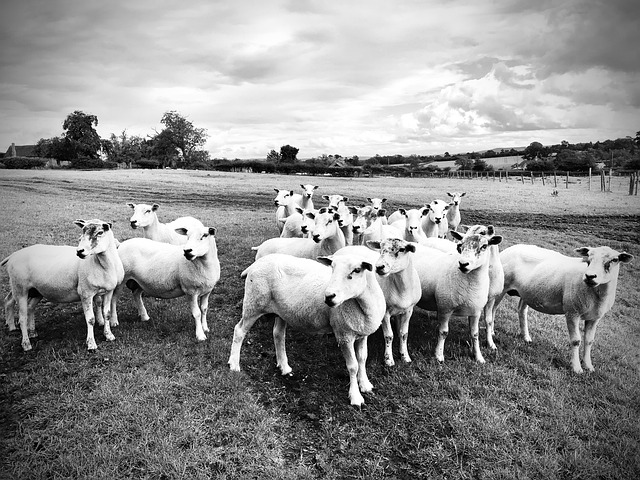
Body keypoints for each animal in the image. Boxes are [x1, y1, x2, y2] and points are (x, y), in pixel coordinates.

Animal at [2, 219, 124, 351]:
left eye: (100, 232)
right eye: (82, 232)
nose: (79, 251)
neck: (103, 265)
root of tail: (13, 255)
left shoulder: (108, 291)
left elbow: (106, 314)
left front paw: (109, 335)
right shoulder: (85, 293)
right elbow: (90, 320)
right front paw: (91, 344)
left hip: (36, 291)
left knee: (30, 307)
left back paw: (32, 332)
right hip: (20, 289)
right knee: (22, 317)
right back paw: (26, 343)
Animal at [228, 252, 386, 406]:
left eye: (357, 270)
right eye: (332, 267)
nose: (328, 297)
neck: (363, 304)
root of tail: (256, 264)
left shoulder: (362, 332)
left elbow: (362, 359)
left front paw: (365, 384)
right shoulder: (344, 335)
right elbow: (353, 366)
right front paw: (355, 397)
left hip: (281, 311)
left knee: (278, 334)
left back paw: (284, 366)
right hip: (254, 303)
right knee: (239, 331)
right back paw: (234, 365)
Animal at [335, 238, 422, 366]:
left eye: (402, 249)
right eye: (380, 248)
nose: (379, 267)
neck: (402, 289)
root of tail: (347, 247)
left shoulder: (409, 310)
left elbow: (404, 334)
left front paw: (405, 356)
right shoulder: (385, 312)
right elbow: (389, 336)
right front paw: (388, 360)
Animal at [413, 229, 503, 363]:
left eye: (484, 246)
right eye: (460, 245)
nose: (463, 264)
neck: (470, 285)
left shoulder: (475, 312)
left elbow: (475, 334)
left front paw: (479, 357)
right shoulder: (445, 308)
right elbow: (444, 332)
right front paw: (439, 355)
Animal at [492, 244, 633, 373]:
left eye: (614, 260)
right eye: (588, 258)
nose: (590, 276)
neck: (596, 294)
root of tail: (511, 248)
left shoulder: (594, 318)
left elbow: (589, 341)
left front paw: (588, 366)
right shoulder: (572, 312)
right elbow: (576, 341)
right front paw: (576, 368)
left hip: (526, 292)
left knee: (521, 310)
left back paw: (526, 337)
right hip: (502, 286)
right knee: (493, 309)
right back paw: (492, 332)